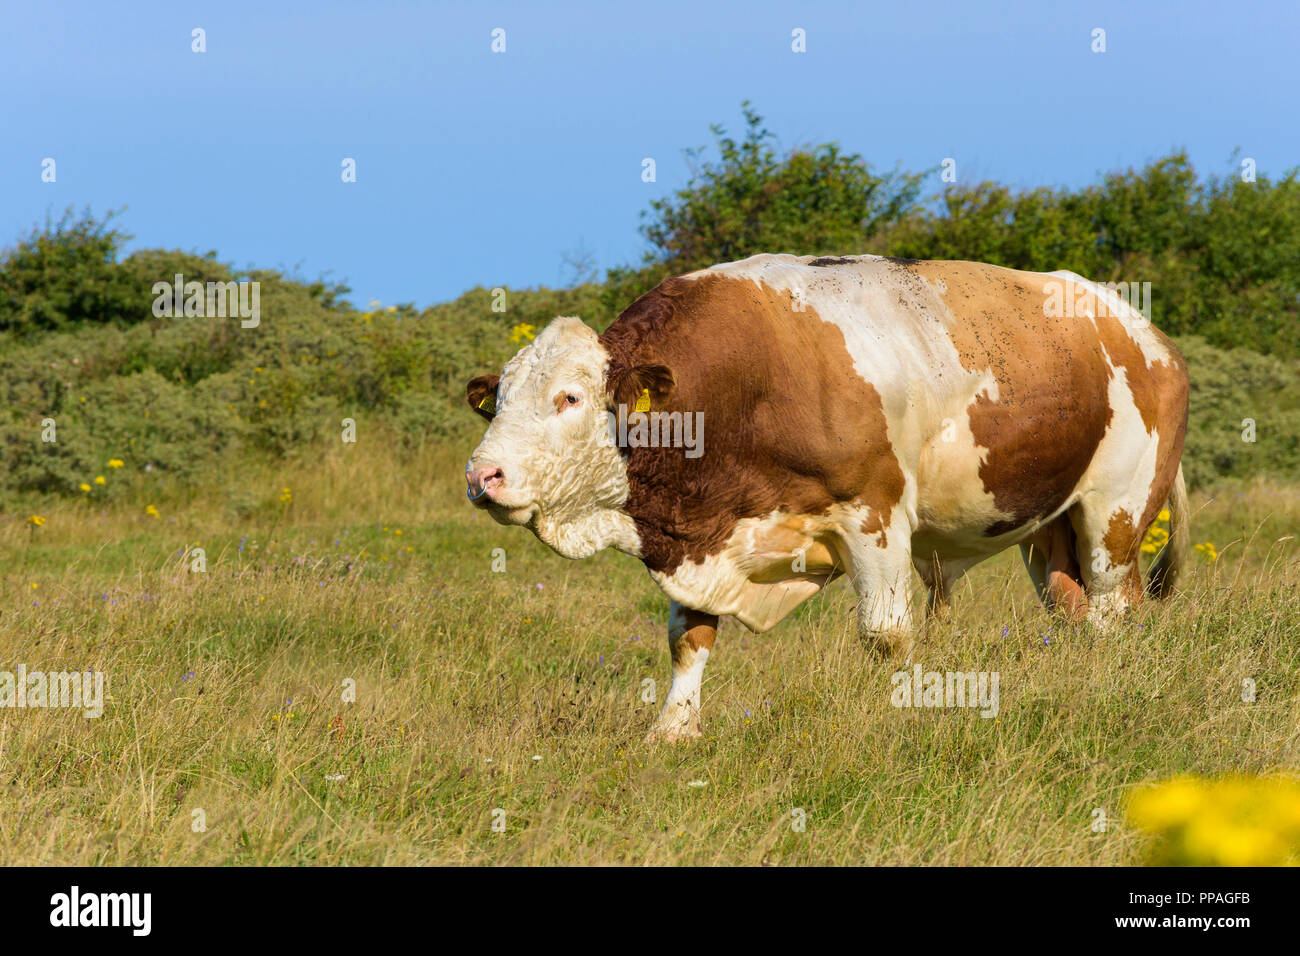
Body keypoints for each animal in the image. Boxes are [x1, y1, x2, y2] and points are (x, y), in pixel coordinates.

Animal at [464, 254, 1190, 741]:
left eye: (569, 397)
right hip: (1049, 528)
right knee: (1071, 606)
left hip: (1115, 511)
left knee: (1110, 604)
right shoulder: (698, 532)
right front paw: (672, 732)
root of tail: (1143, 331)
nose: (482, 475)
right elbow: (688, 637)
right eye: (496, 402)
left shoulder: (875, 515)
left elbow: (886, 635)